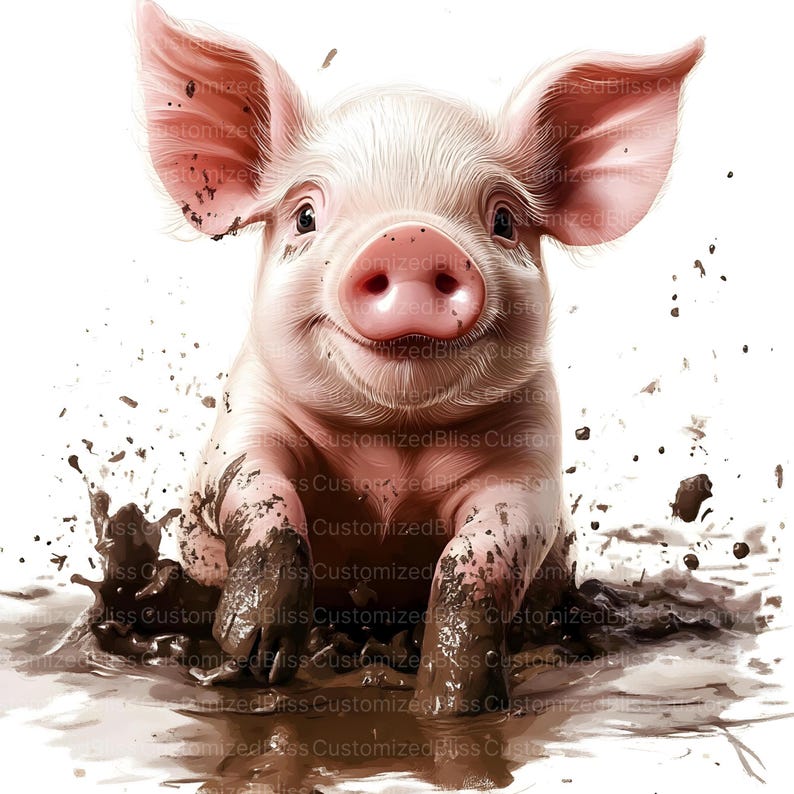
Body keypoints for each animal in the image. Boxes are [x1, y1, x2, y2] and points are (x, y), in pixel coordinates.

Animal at [135, 0, 702, 714]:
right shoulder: (242, 426)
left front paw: (451, 706)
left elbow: (480, 557)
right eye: (304, 215)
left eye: (504, 220)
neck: (391, 456)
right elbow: (263, 498)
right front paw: (250, 660)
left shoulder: (528, 466)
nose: (410, 238)